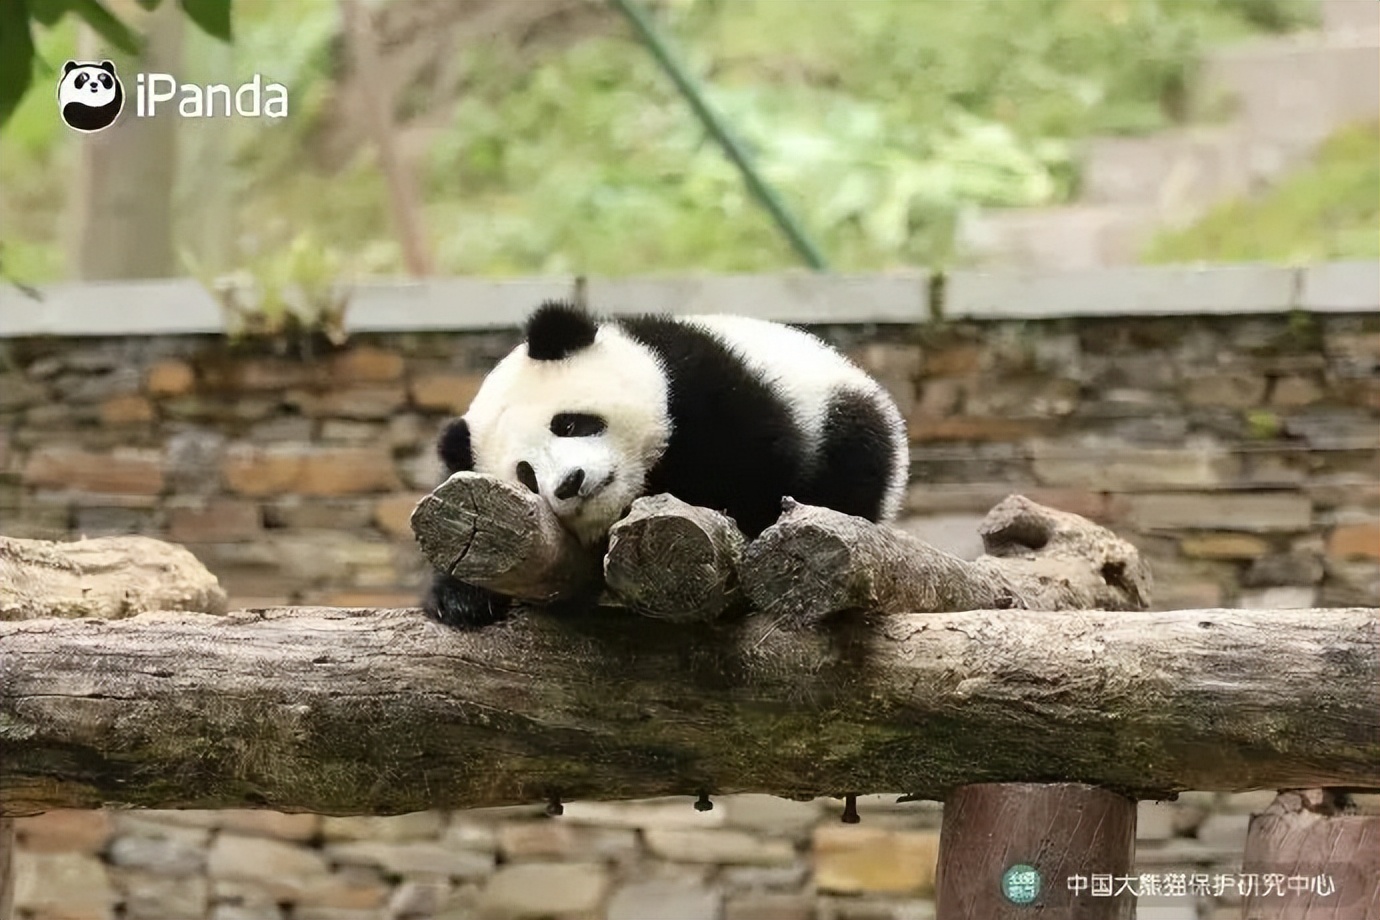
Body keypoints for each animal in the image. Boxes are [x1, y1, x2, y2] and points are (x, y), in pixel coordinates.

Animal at [424, 300, 909, 628]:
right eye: (525, 474)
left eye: (569, 424)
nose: (570, 482)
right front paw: (461, 598)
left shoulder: (708, 392)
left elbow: (753, 478)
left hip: (838, 414)